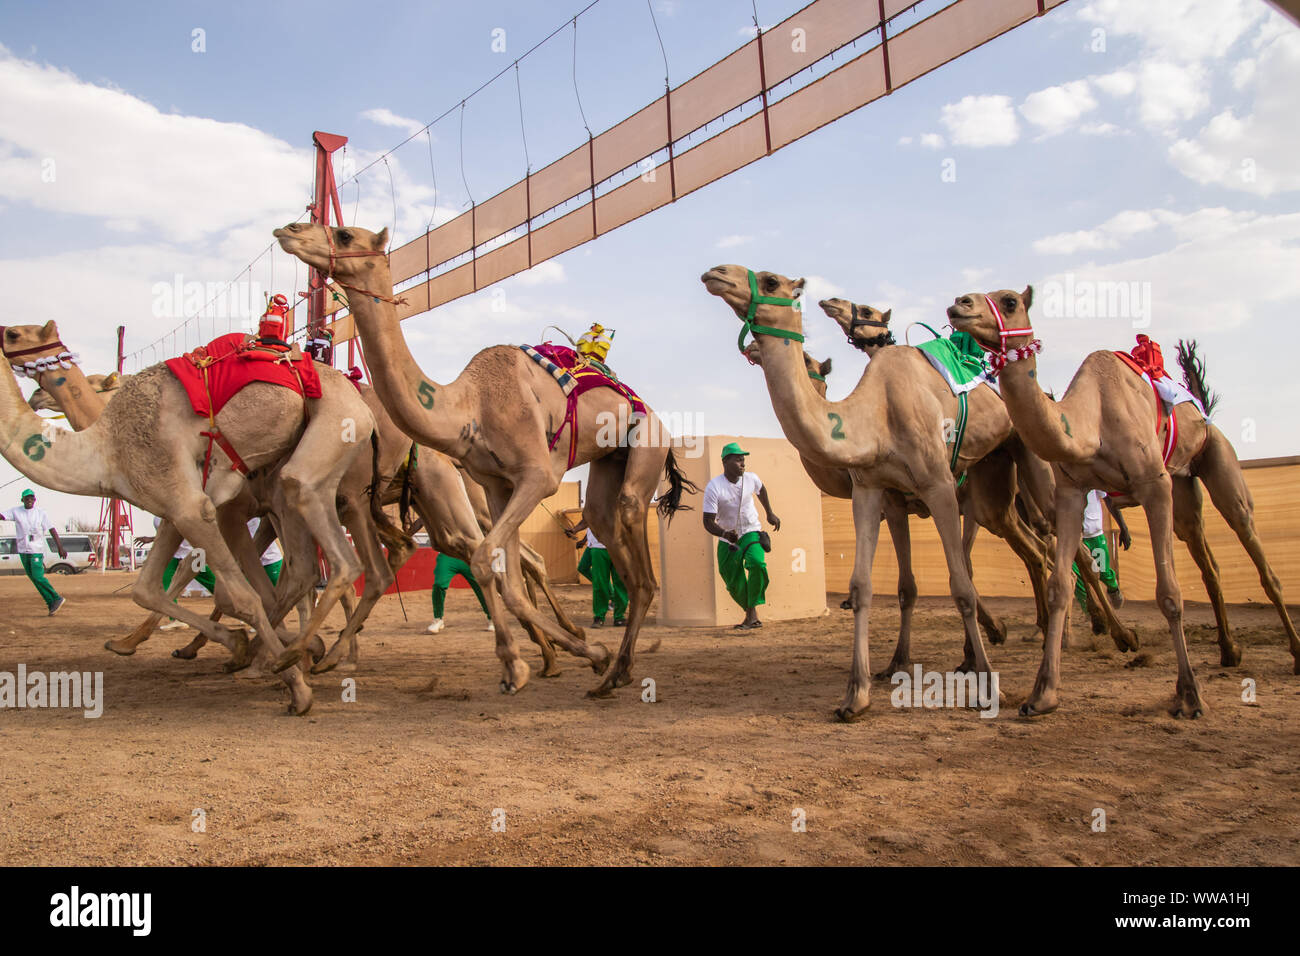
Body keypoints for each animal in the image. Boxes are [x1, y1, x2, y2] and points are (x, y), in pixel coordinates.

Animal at [0, 326, 375, 715]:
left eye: (14, 335)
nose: (37, 394)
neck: (105, 451)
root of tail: (359, 399)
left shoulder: (199, 506)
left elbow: (240, 595)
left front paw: (294, 686)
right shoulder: (172, 505)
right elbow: (148, 588)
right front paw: (138, 643)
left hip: (331, 436)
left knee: (336, 559)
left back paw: (304, 656)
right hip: (292, 492)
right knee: (309, 569)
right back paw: (306, 652)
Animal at [275, 222, 695, 698]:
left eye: (345, 235)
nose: (289, 229)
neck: (468, 407)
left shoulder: (537, 476)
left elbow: (482, 561)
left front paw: (555, 657)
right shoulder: (497, 485)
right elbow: (505, 575)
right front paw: (528, 664)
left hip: (649, 440)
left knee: (636, 550)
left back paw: (613, 668)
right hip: (608, 461)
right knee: (601, 520)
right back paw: (612, 671)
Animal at [949, 287, 1299, 716]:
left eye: (1010, 300)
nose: (960, 304)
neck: (1093, 421)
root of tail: (1202, 411)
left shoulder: (1153, 486)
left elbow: (1168, 592)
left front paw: (1189, 695)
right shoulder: (1071, 493)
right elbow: (1060, 584)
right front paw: (1042, 694)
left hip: (1216, 463)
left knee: (1257, 552)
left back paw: (1294, 652)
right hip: (1182, 486)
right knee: (1208, 561)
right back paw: (1229, 650)